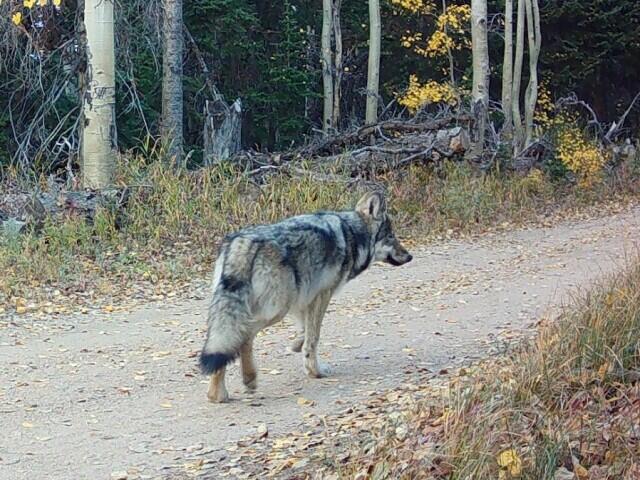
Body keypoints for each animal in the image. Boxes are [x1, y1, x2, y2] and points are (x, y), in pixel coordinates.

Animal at [199, 192, 413, 402]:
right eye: (391, 236)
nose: (410, 256)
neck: (351, 234)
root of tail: (241, 243)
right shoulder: (322, 295)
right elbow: (313, 337)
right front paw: (315, 371)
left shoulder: (303, 300)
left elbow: (305, 331)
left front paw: (296, 346)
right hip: (276, 310)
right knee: (243, 337)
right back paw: (247, 380)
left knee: (225, 345)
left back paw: (217, 394)